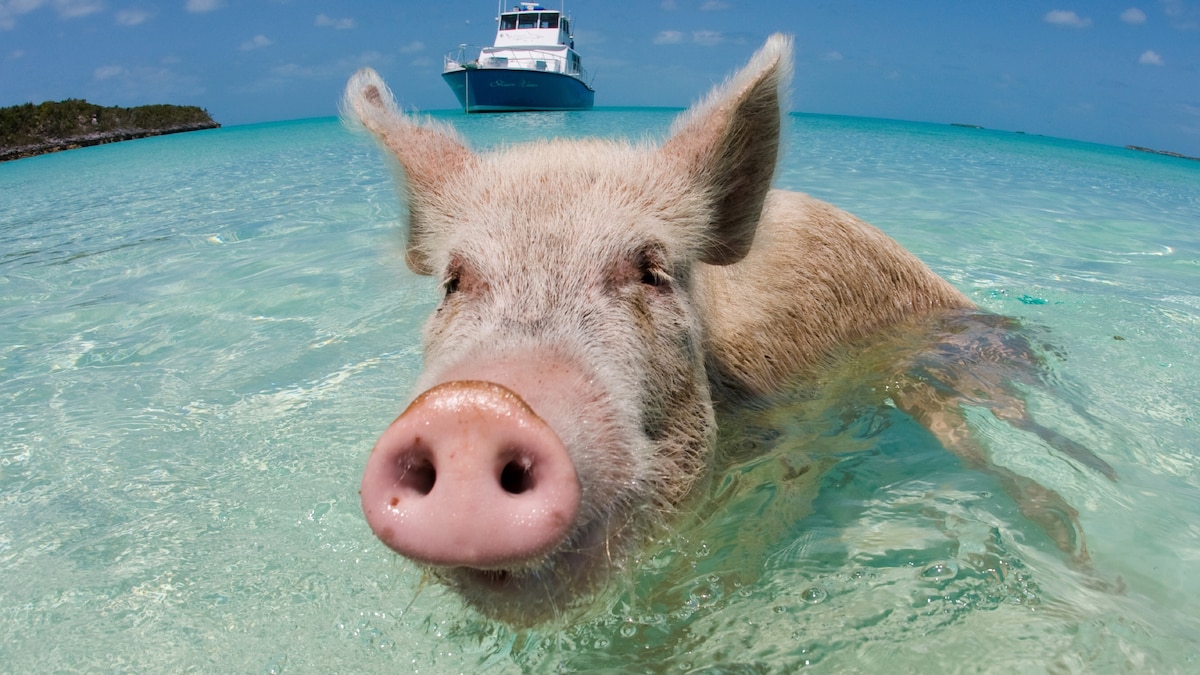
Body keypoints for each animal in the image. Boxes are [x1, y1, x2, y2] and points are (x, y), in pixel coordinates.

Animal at [345, 33, 1113, 626]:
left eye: (652, 270)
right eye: (453, 282)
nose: (475, 404)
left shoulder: (794, 449)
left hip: (958, 364)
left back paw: (1094, 560)